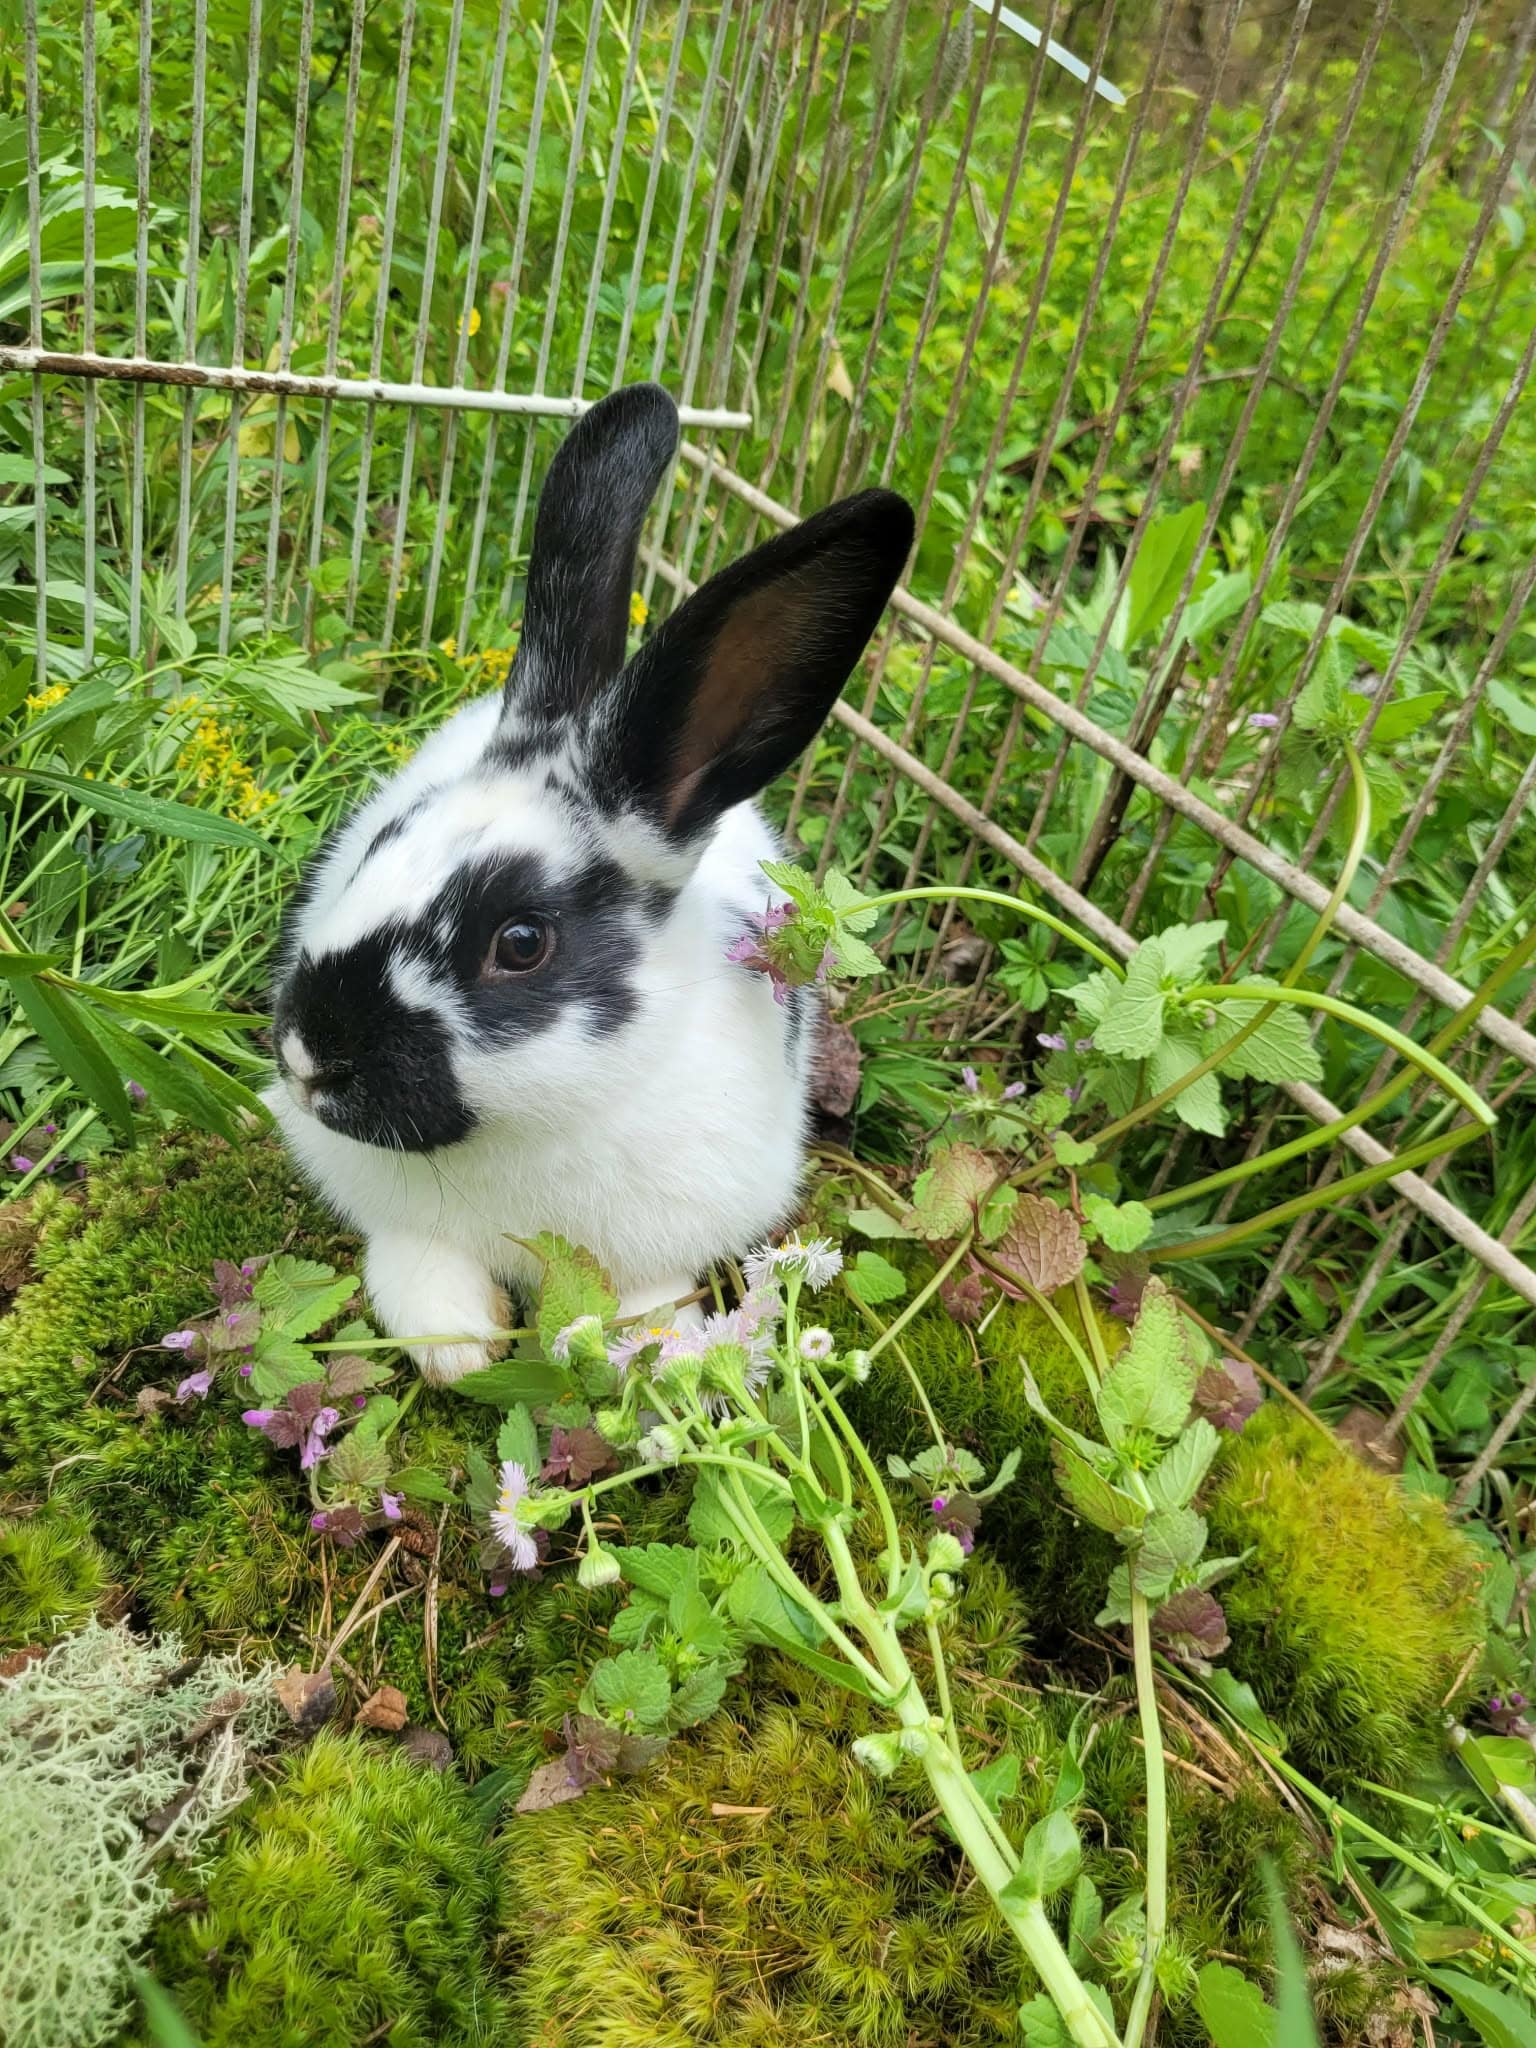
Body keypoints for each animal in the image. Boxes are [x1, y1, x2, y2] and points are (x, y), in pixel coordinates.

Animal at [264, 381, 914, 1383]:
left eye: (521, 943)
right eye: (378, 848)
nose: (307, 1059)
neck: (533, 1133)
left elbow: (651, 1309)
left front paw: (660, 1367)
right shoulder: (403, 1222)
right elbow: (417, 1271)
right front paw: (464, 1349)